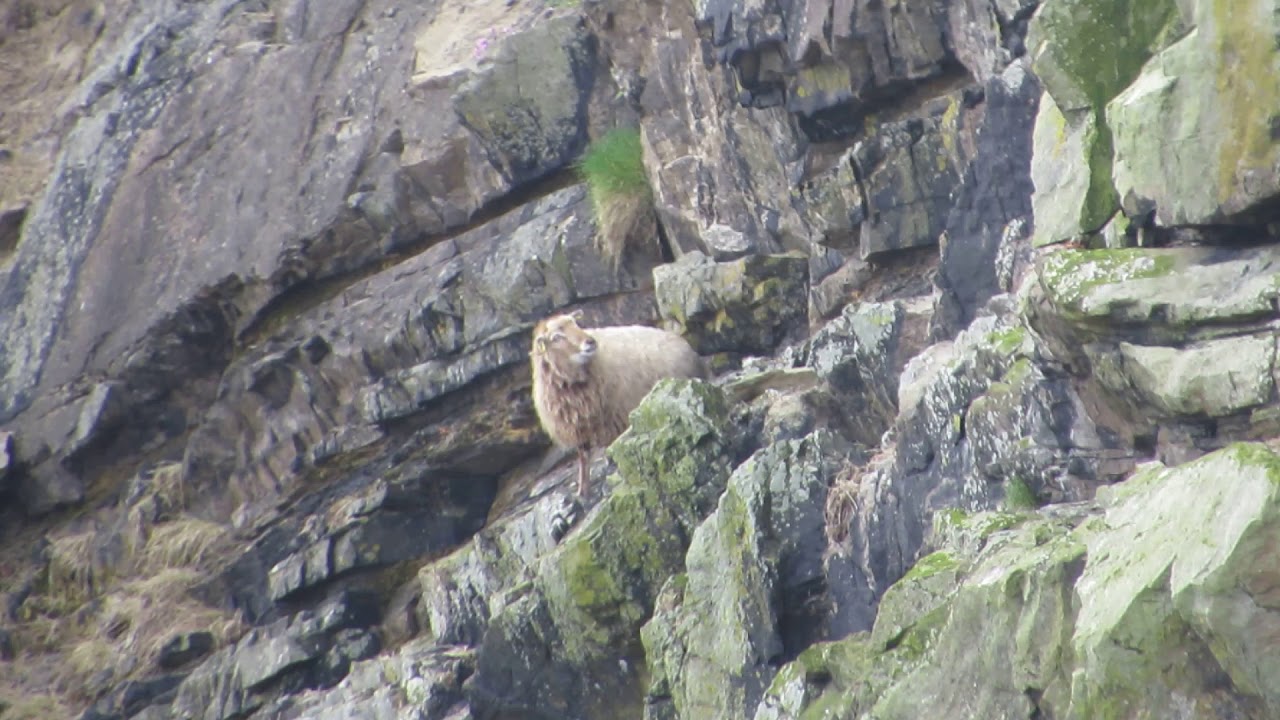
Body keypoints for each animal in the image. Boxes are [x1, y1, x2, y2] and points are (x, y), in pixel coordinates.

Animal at [530, 310, 706, 497]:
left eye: (576, 324)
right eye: (556, 337)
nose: (590, 341)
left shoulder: (613, 420)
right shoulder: (577, 428)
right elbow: (583, 457)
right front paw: (582, 492)